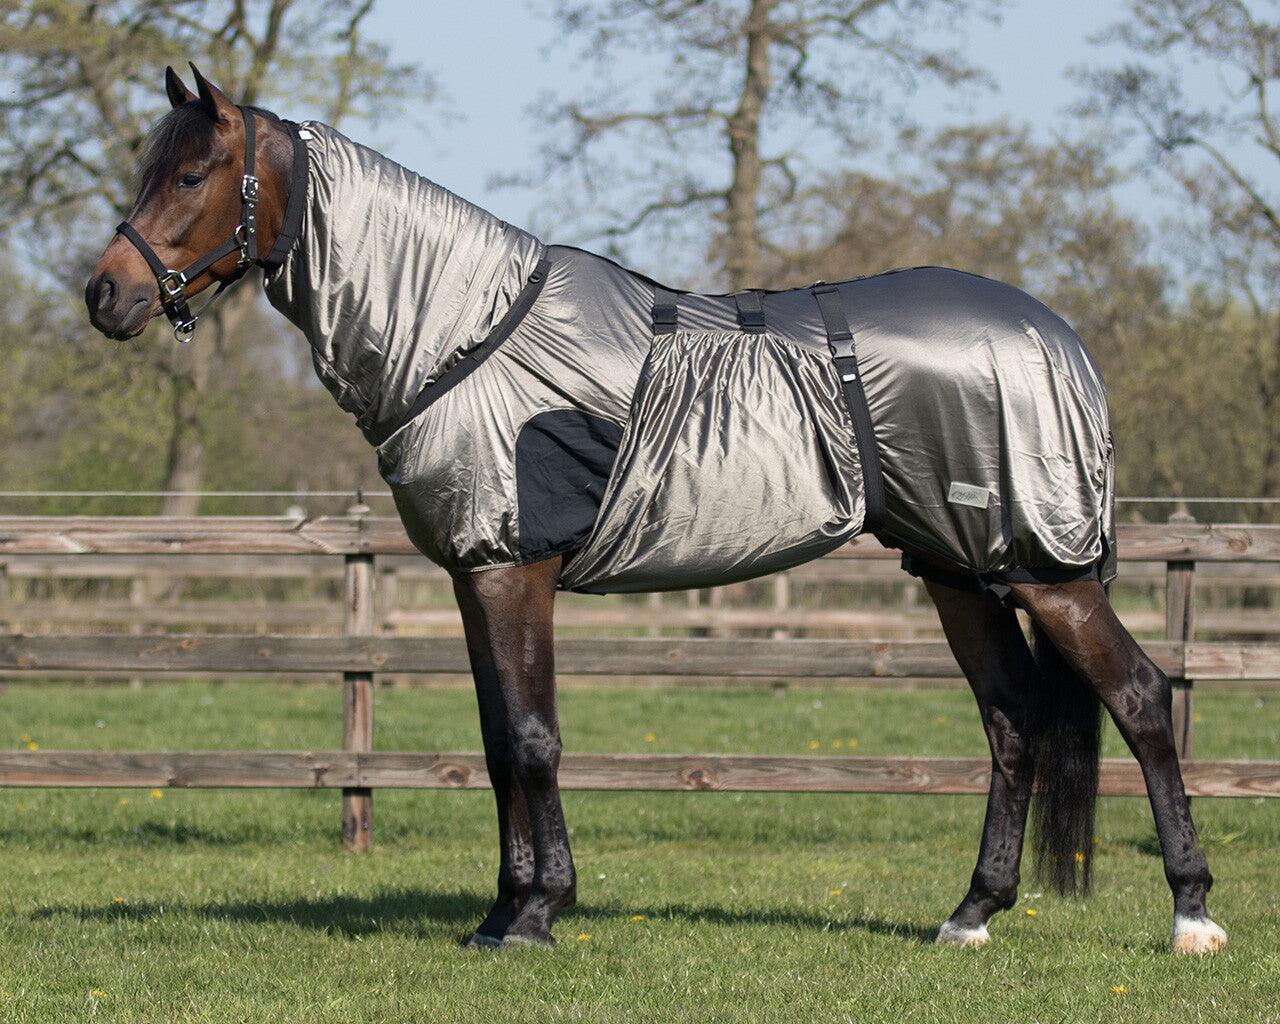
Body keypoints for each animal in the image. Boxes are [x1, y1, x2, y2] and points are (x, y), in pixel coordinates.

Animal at [85, 65, 1227, 954]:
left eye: (189, 175)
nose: (103, 295)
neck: (465, 332)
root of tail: (1054, 335)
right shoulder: (476, 571)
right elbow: (497, 740)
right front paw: (503, 911)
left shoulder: (513, 567)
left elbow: (532, 737)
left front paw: (536, 914)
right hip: (959, 571)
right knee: (1013, 723)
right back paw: (970, 915)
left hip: (1044, 570)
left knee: (1137, 699)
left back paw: (1191, 914)